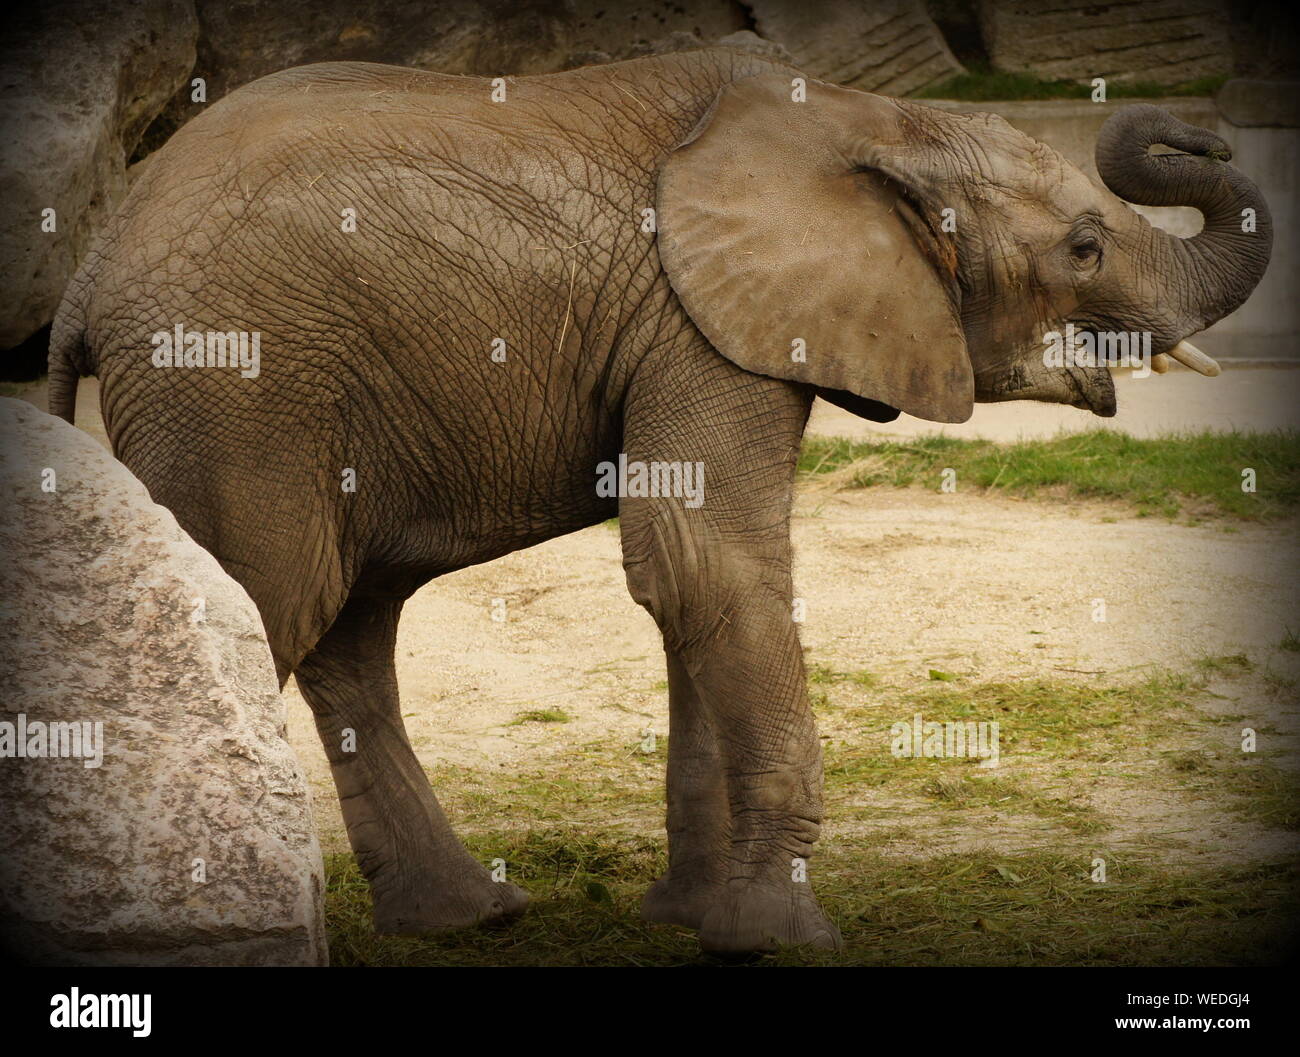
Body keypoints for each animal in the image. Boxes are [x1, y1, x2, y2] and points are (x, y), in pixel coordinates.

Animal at [47, 47, 1271, 952]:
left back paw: (468, 918)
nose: (1204, 133)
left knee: (350, 624)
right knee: (263, 608)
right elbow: (704, 556)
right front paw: (783, 934)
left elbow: (693, 574)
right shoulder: (696, 325)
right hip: (238, 393)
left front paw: (698, 921)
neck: (864, 117)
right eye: (1085, 247)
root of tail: (93, 259)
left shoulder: (712, 322)